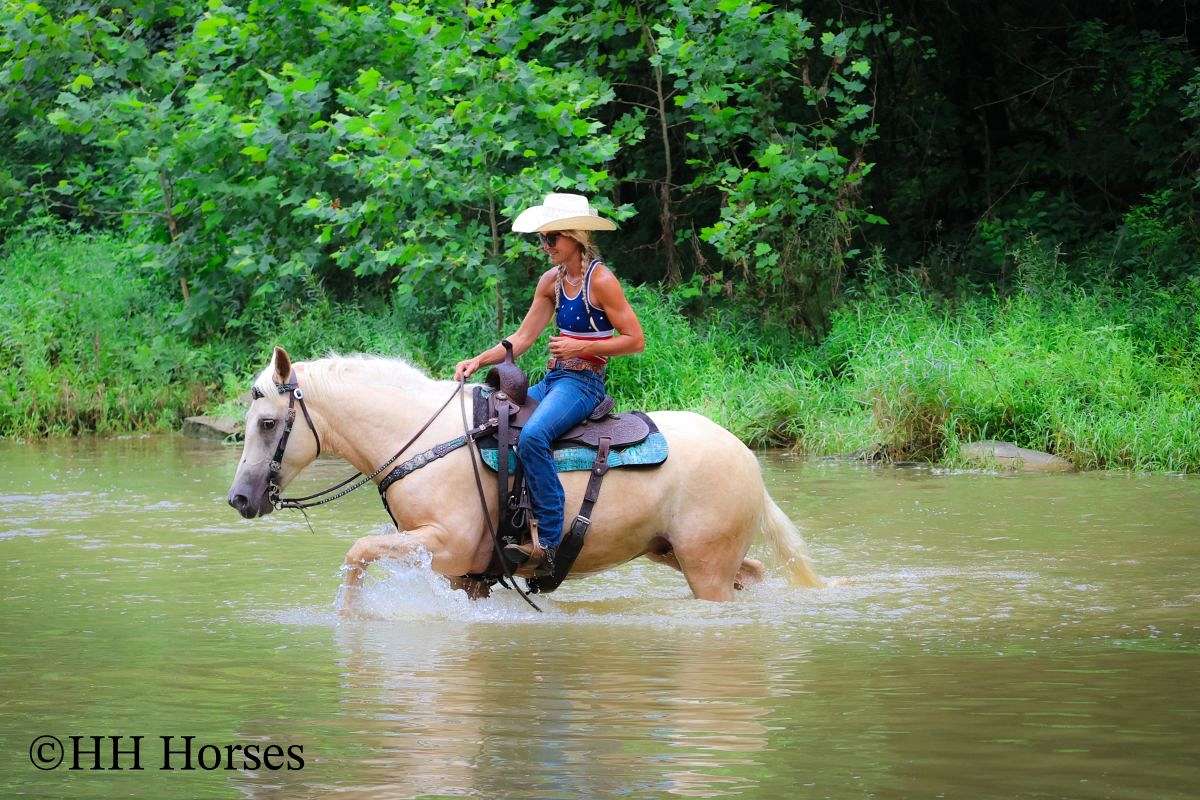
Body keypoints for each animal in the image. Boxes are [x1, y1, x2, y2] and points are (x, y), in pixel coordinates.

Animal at [226, 347, 824, 608]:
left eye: (267, 422)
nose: (239, 498)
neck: (421, 438)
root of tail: (746, 457)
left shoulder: (447, 544)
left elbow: (357, 552)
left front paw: (348, 618)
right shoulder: (464, 573)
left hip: (705, 565)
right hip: (675, 552)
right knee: (753, 572)